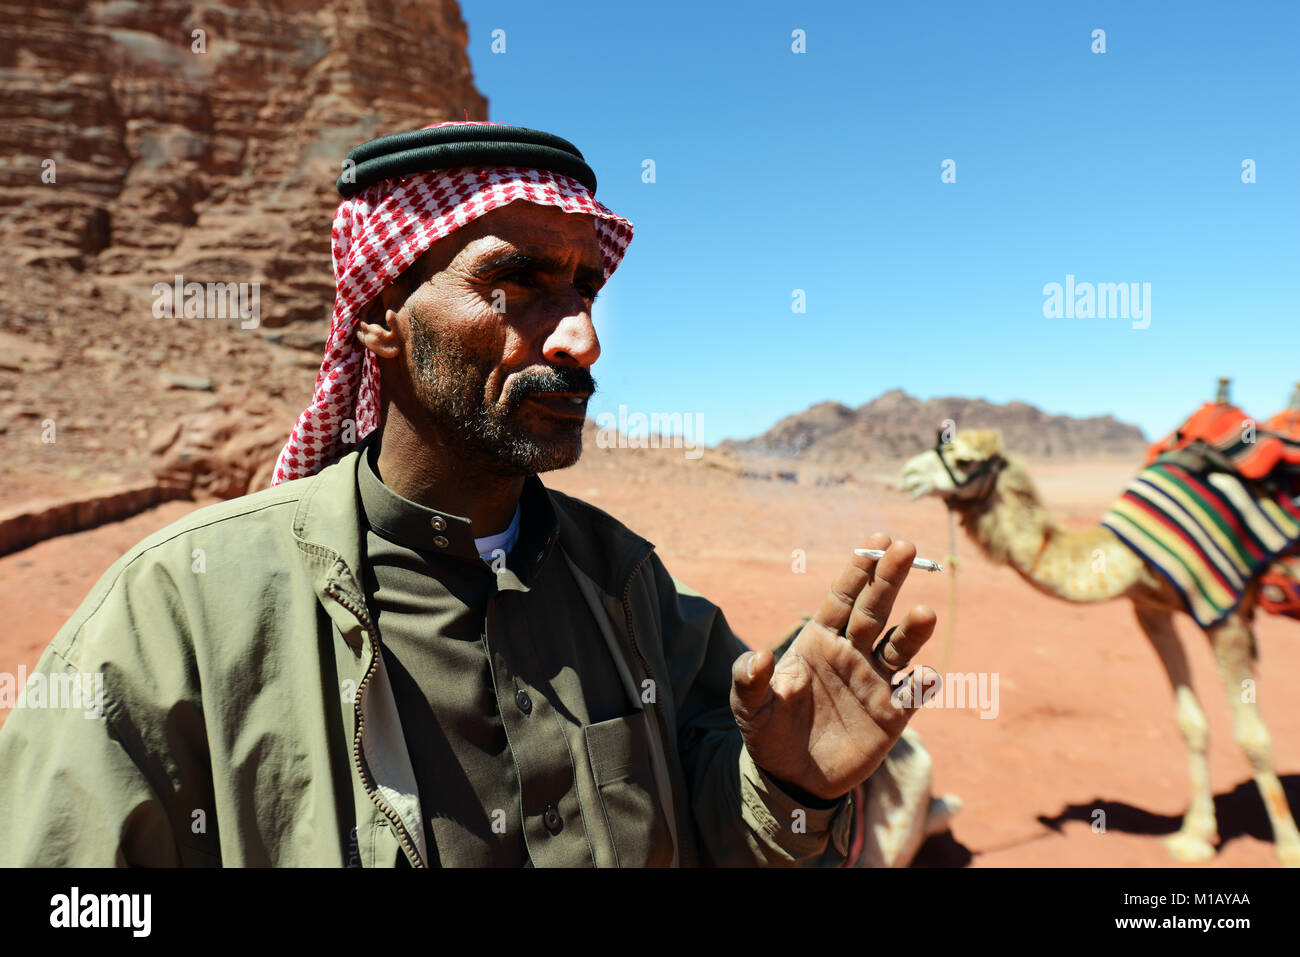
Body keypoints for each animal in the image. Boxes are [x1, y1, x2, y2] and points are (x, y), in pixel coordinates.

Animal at [897, 429, 1300, 866]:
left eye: (965, 460)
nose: (907, 475)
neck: (1131, 557)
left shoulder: (1226, 613)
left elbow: (1253, 738)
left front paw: (1289, 848)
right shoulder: (1151, 610)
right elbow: (1192, 722)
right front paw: (1194, 837)